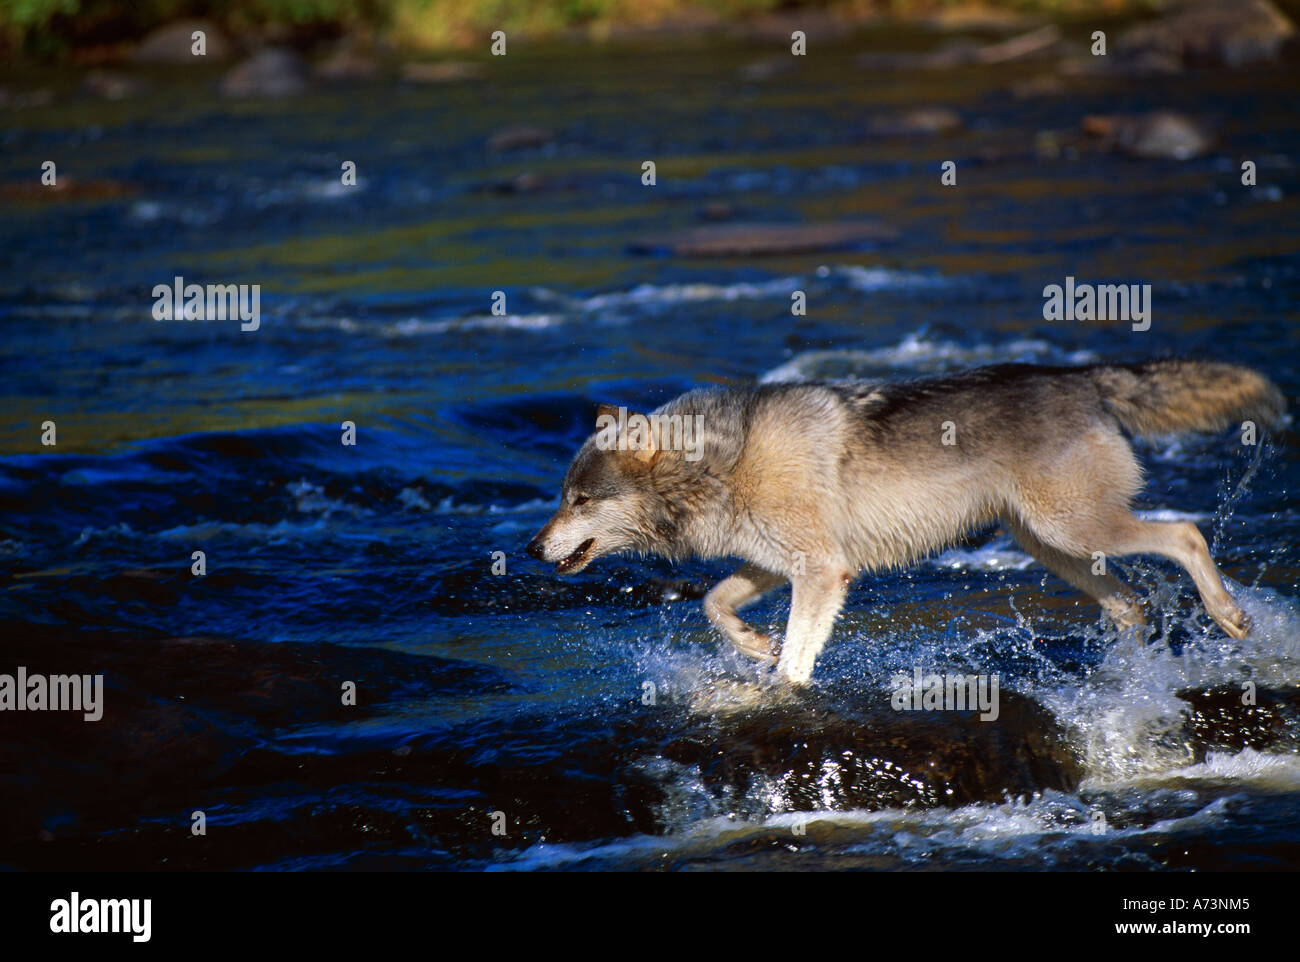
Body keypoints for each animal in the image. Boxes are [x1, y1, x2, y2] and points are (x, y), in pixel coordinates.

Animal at [526, 360, 1285, 685]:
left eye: (579, 499)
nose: (530, 547)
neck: (720, 463)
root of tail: (1081, 377)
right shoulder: (781, 564)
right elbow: (713, 604)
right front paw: (755, 647)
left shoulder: (822, 571)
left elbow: (795, 662)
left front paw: (781, 687)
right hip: (1051, 545)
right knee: (1130, 606)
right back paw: (1125, 674)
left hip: (1076, 531)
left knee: (1185, 533)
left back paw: (1228, 617)